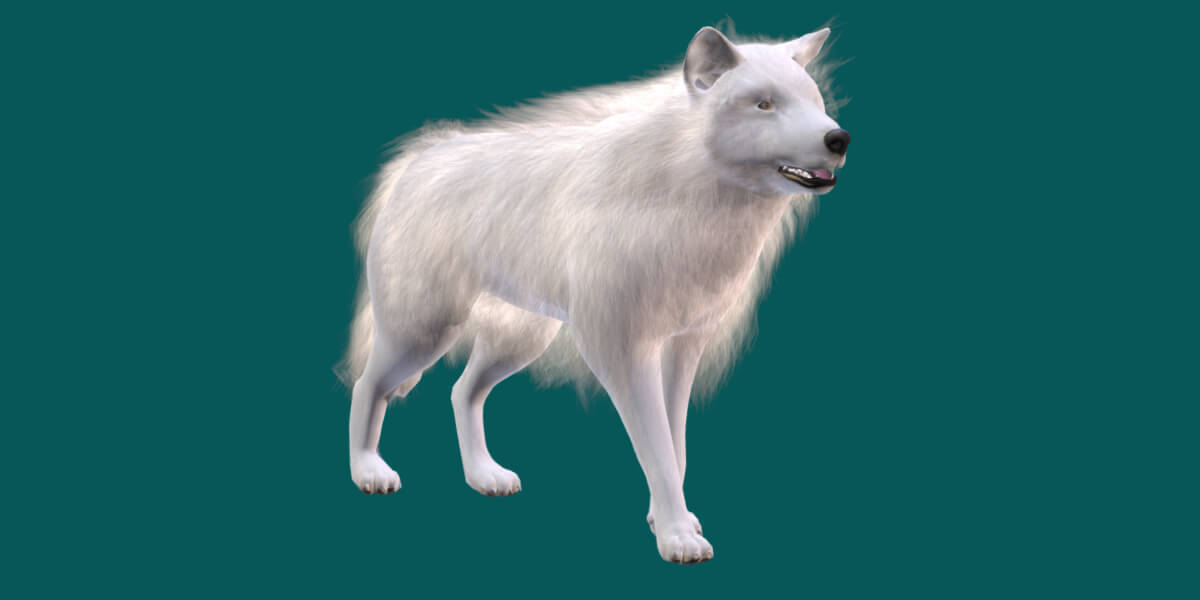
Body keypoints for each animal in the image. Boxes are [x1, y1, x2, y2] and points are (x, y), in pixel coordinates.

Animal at [339, 25, 850, 564]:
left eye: (815, 102)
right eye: (765, 105)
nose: (839, 139)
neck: (686, 198)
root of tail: (417, 162)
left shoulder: (681, 348)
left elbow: (675, 447)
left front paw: (670, 522)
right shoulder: (622, 350)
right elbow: (658, 450)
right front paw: (677, 538)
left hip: (518, 342)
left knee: (462, 393)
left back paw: (484, 476)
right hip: (422, 333)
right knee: (367, 385)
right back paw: (368, 470)